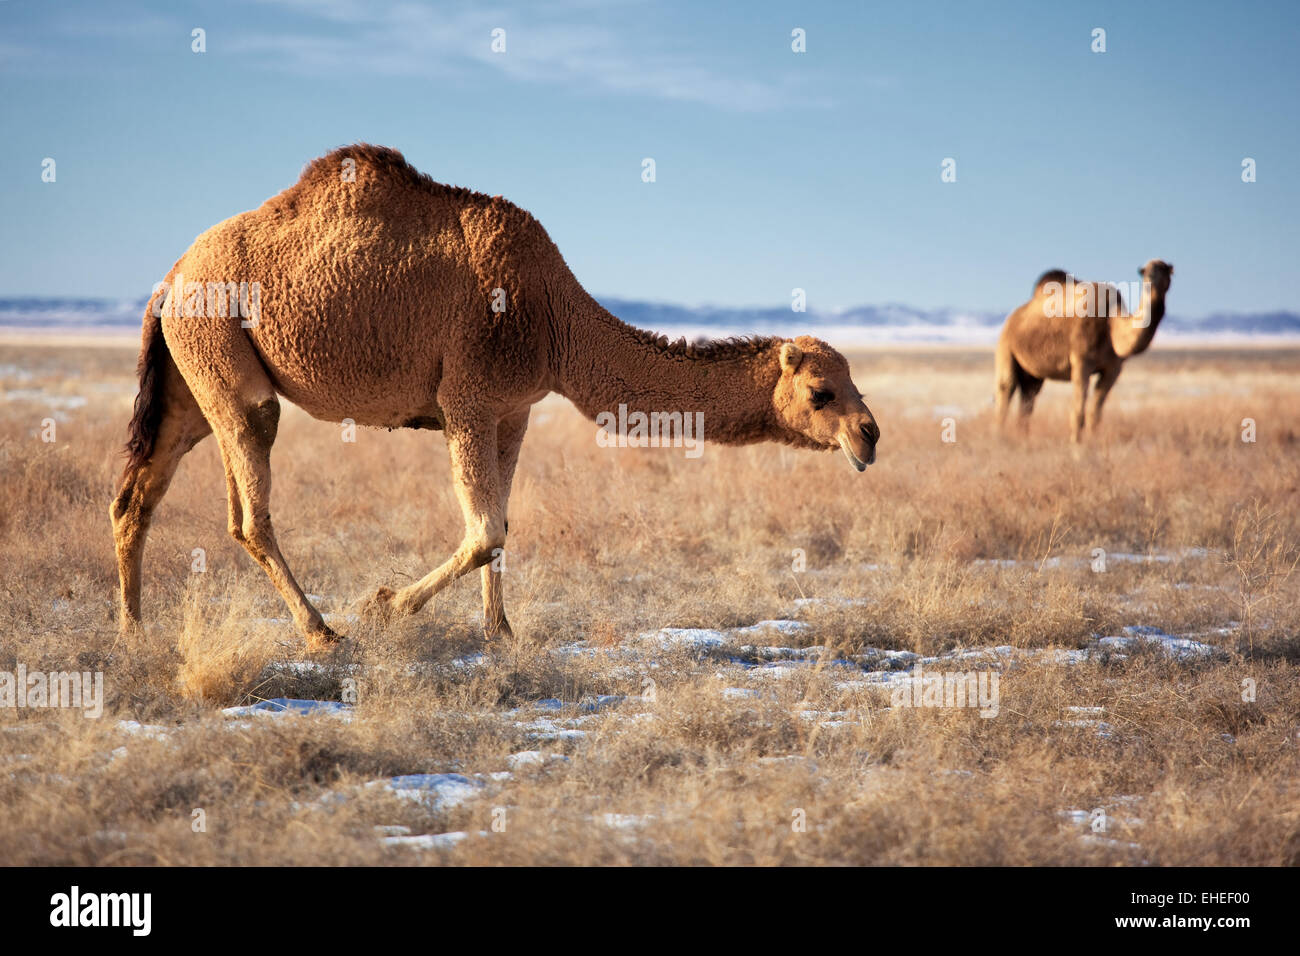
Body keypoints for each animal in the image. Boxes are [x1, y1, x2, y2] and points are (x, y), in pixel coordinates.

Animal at [111, 144, 881, 649]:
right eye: (821, 392)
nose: (869, 436)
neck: (557, 320)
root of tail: (170, 277)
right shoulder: (470, 397)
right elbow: (486, 530)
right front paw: (384, 604)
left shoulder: (515, 409)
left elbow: (504, 526)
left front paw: (500, 632)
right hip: (223, 353)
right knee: (249, 510)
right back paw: (322, 632)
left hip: (191, 379)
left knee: (136, 496)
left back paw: (133, 633)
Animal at [994, 259, 1173, 442]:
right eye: (1145, 272)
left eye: (1164, 269)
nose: (1150, 279)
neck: (1110, 323)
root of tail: (1011, 319)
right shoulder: (1081, 362)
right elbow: (1078, 412)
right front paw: (1077, 447)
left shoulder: (1113, 368)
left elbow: (1096, 413)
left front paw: (1092, 443)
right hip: (1006, 347)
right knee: (1006, 389)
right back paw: (1000, 437)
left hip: (1033, 372)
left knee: (1028, 398)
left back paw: (1022, 438)